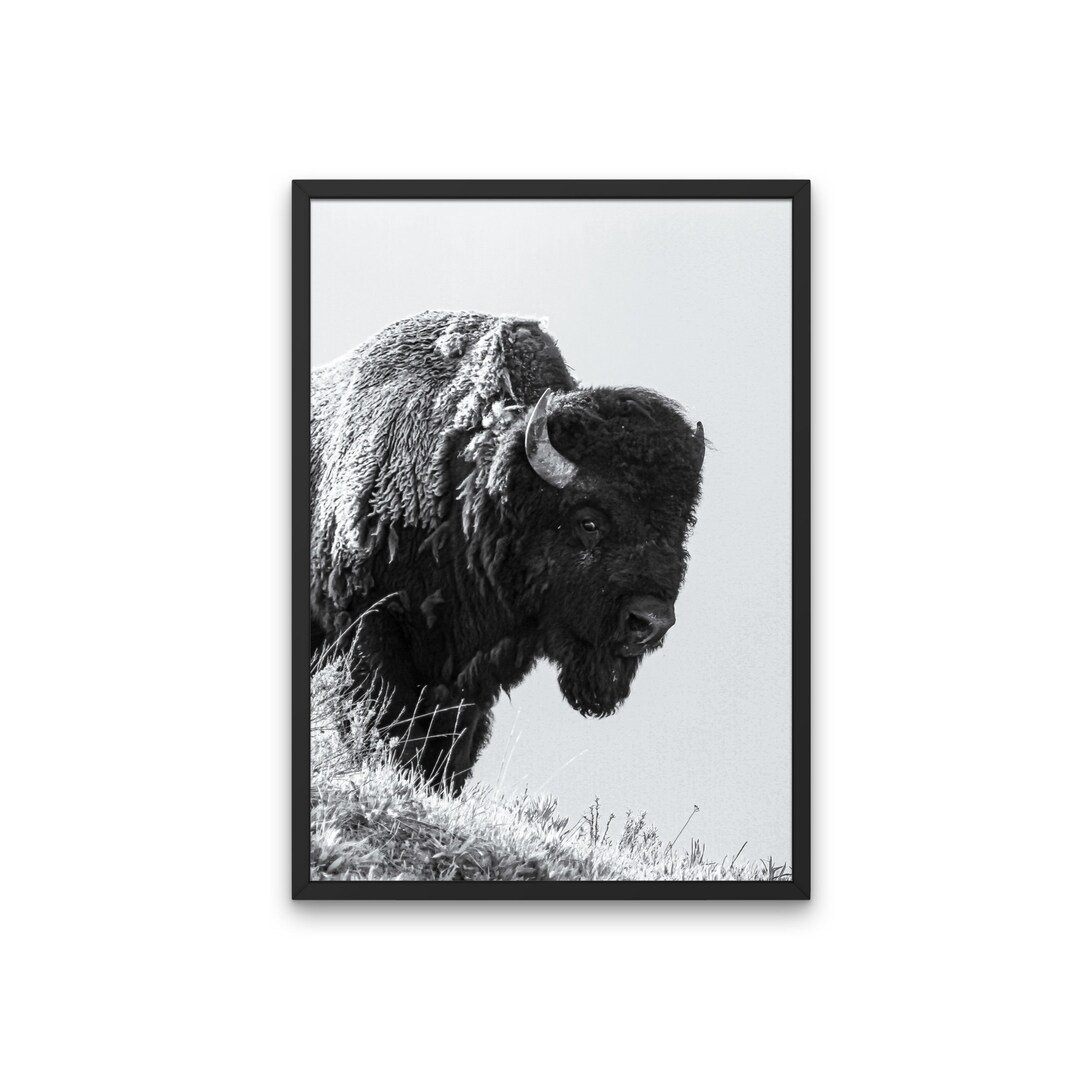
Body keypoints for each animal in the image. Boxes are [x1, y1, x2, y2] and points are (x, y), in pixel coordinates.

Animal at [311, 310, 705, 791]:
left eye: (681, 528)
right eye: (589, 521)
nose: (650, 621)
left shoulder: (474, 674)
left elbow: (453, 745)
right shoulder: (369, 626)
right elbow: (389, 721)